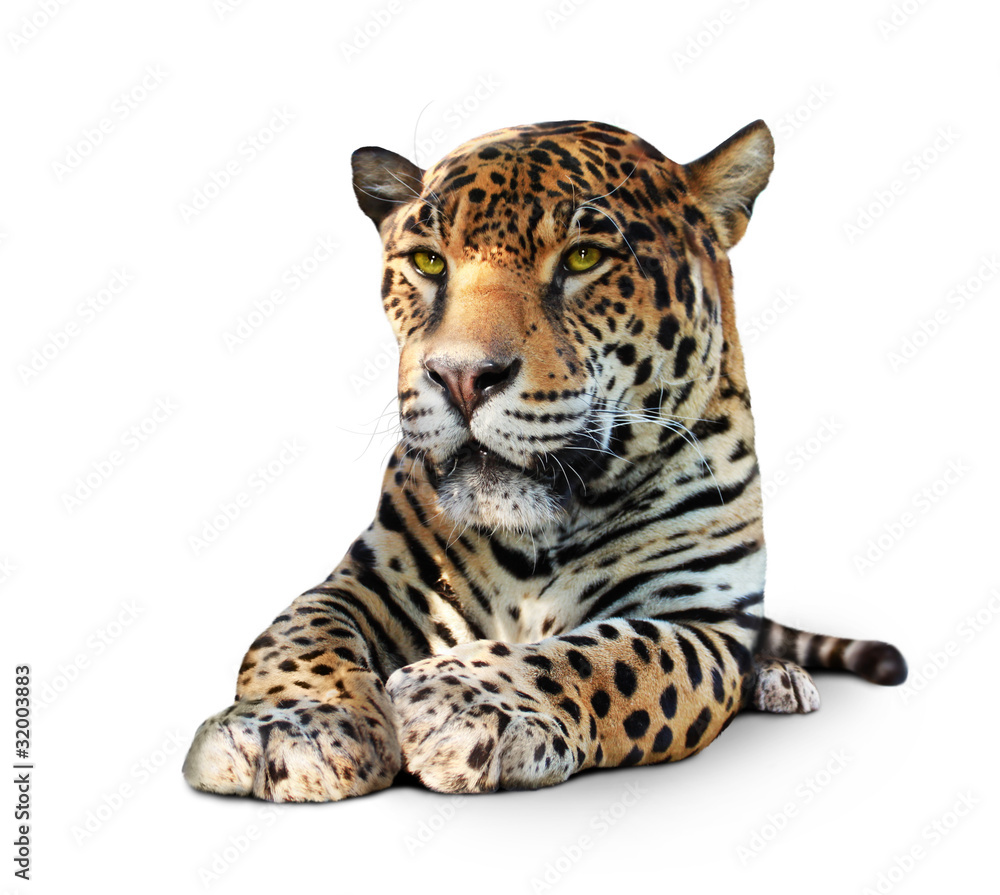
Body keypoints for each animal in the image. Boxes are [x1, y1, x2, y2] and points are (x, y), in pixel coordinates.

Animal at [183, 119, 907, 801]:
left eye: (584, 256)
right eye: (428, 262)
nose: (461, 377)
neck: (538, 539)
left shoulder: (699, 617)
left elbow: (616, 654)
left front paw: (465, 701)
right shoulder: (375, 576)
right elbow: (298, 631)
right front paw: (294, 724)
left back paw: (784, 678)